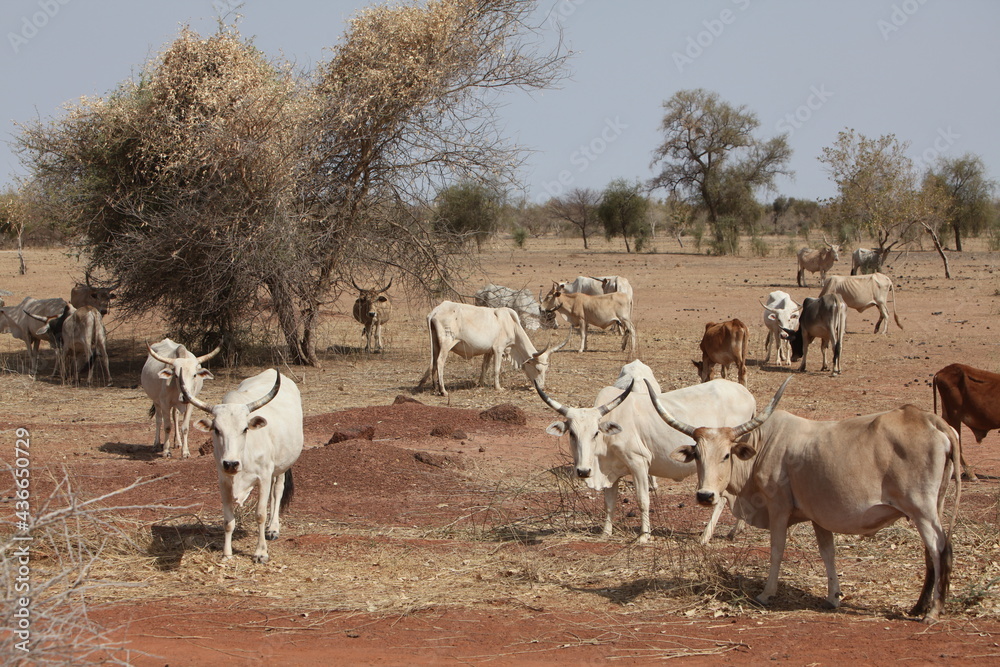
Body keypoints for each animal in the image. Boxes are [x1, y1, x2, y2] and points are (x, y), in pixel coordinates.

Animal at [184, 369, 303, 563]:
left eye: (245, 429)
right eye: (217, 429)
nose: (231, 463)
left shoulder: (263, 477)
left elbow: (260, 515)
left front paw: (261, 552)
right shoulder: (223, 481)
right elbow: (228, 521)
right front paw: (226, 553)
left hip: (282, 466)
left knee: (277, 491)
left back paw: (273, 528)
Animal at [416, 301, 565, 397]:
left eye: (545, 369)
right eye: (538, 369)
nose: (542, 386)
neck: (512, 325)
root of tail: (435, 311)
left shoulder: (488, 351)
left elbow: (484, 367)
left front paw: (480, 384)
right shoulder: (498, 349)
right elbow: (496, 369)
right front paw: (498, 387)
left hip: (436, 344)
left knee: (433, 363)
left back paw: (434, 387)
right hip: (447, 343)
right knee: (439, 362)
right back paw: (443, 390)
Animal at [534, 361, 756, 544]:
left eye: (595, 432)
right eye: (572, 433)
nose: (582, 471)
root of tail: (746, 393)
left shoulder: (639, 464)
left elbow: (643, 500)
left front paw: (644, 536)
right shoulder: (611, 471)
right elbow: (609, 503)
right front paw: (605, 533)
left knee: (723, 498)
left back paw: (706, 536)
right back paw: (736, 530)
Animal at [646, 378, 962, 622]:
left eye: (726, 455)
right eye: (697, 455)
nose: (705, 495)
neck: (764, 446)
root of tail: (931, 420)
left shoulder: (778, 509)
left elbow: (777, 549)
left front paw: (766, 593)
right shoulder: (819, 516)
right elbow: (828, 553)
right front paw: (833, 597)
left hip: (922, 510)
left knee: (941, 550)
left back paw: (933, 611)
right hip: (932, 508)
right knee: (930, 553)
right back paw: (918, 606)